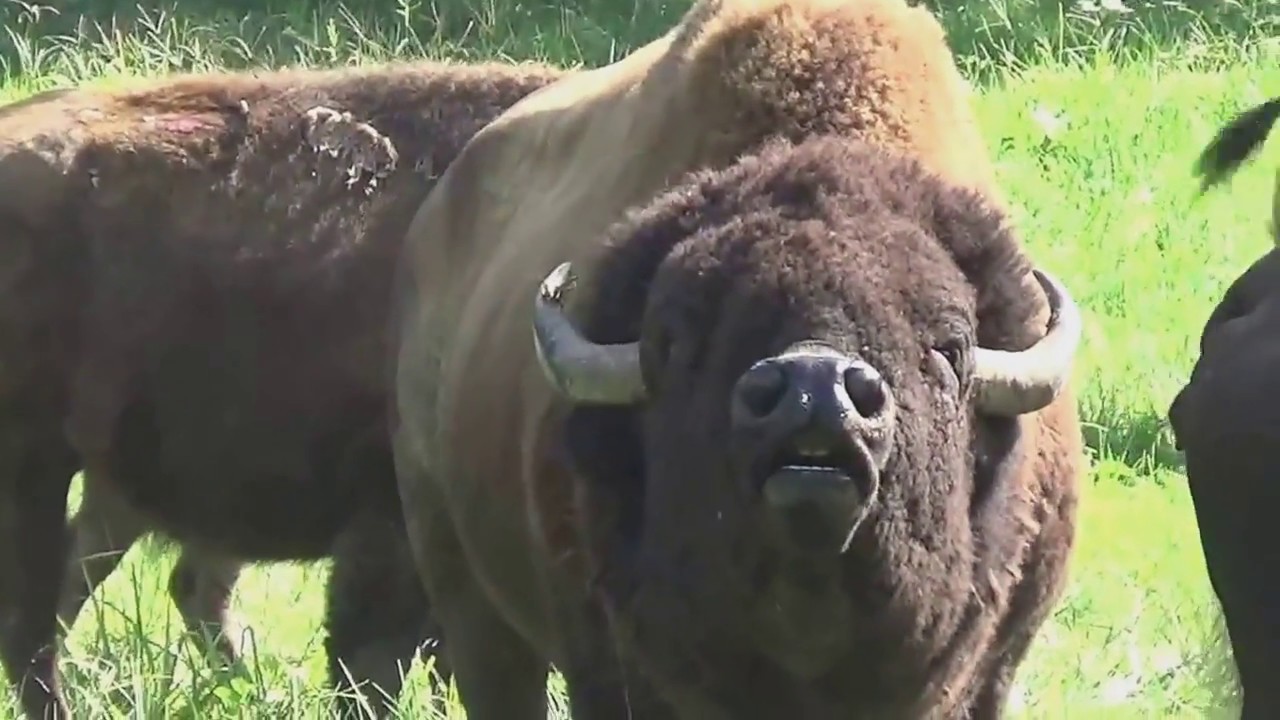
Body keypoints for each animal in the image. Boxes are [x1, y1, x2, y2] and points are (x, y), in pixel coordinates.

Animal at [0, 58, 565, 718]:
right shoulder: (391, 533)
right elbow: (373, 666)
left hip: (118, 486)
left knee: (133, 588)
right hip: (37, 467)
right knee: (37, 623)